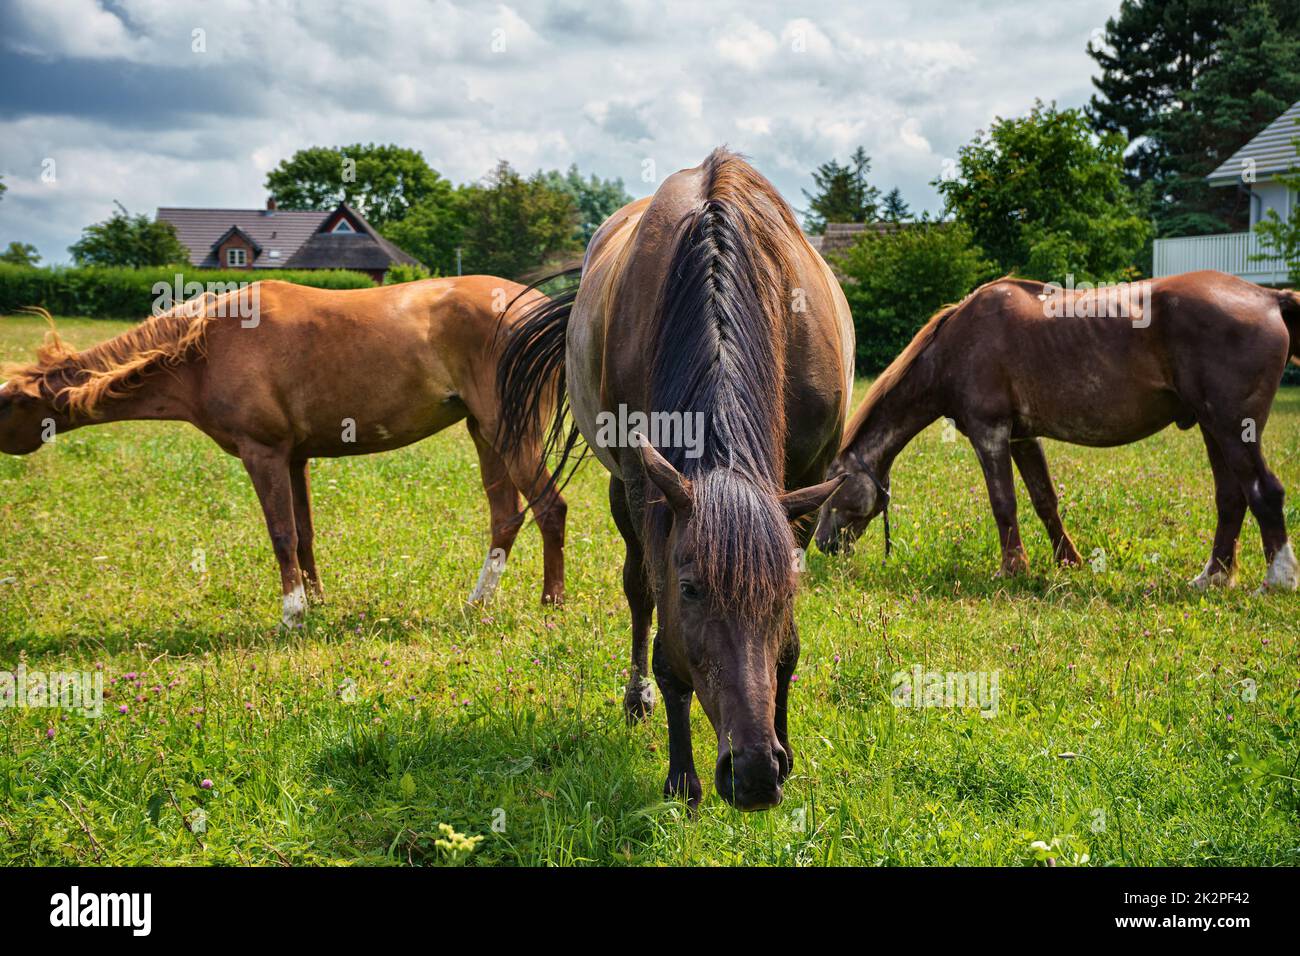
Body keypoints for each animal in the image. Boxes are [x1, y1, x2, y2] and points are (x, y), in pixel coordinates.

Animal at [0, 277, 568, 626]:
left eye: (6, 402)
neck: (205, 344)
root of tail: (537, 309)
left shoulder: (265, 454)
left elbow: (280, 535)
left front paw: (292, 613)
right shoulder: (296, 459)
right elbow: (303, 533)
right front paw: (316, 603)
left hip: (507, 433)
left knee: (549, 508)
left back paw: (552, 603)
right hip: (486, 433)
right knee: (506, 517)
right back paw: (477, 603)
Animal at [497, 149, 854, 811]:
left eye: (783, 593)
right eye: (690, 589)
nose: (754, 771)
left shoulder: (808, 486)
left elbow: (787, 648)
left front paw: (788, 756)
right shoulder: (649, 488)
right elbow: (666, 642)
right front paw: (681, 776)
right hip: (622, 491)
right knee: (637, 589)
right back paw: (636, 698)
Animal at [813, 270, 1300, 592]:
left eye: (833, 487)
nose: (822, 544)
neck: (955, 347)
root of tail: (1268, 296)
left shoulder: (990, 433)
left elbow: (1004, 503)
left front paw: (1012, 569)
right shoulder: (1021, 437)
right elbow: (1044, 499)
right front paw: (1068, 562)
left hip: (1233, 428)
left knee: (1264, 491)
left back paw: (1277, 580)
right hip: (1213, 430)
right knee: (1231, 497)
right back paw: (1213, 576)